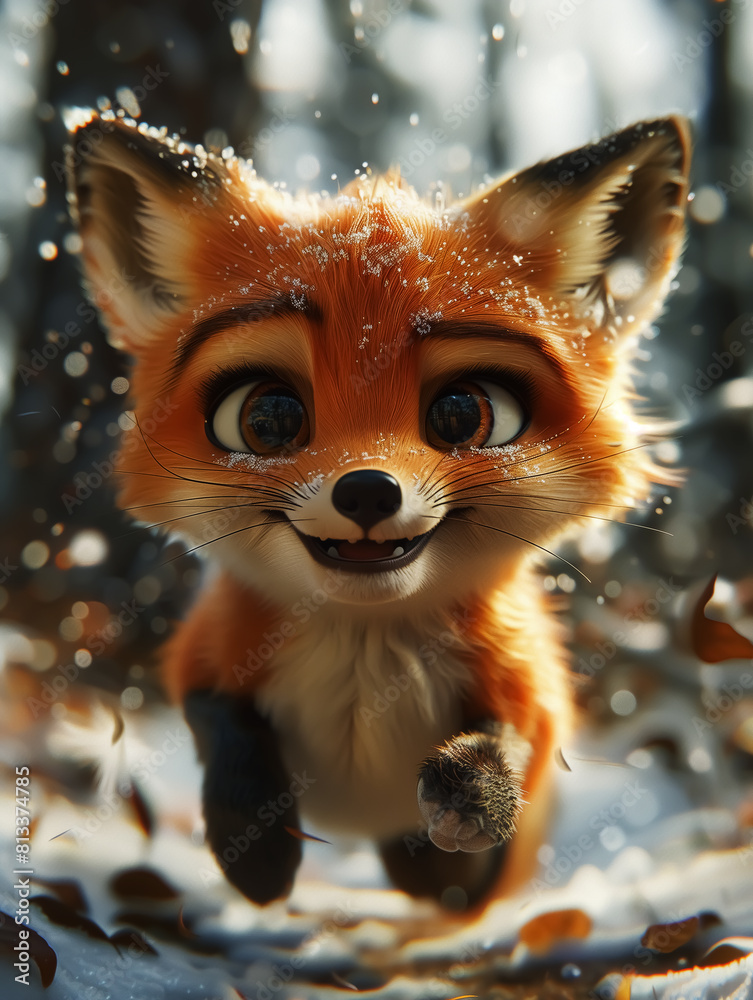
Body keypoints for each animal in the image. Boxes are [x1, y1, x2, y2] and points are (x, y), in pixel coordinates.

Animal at [67, 109, 690, 911]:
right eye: (267, 418)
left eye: (465, 413)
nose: (366, 490)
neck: (365, 649)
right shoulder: (207, 653)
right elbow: (219, 724)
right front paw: (255, 850)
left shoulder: (529, 682)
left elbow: (511, 742)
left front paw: (470, 797)